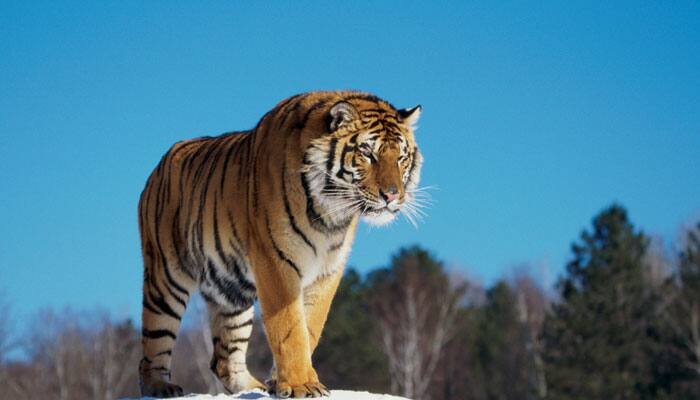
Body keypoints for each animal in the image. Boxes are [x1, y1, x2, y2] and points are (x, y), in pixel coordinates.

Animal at [138, 90, 423, 398]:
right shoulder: (276, 262)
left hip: (232, 291)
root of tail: (158, 167)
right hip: (166, 278)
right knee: (153, 342)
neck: (330, 214)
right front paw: (300, 384)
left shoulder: (328, 270)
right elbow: (289, 329)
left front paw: (283, 382)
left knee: (224, 358)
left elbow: (310, 326)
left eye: (401, 157)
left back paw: (255, 387)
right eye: (367, 153)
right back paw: (160, 386)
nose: (392, 196)